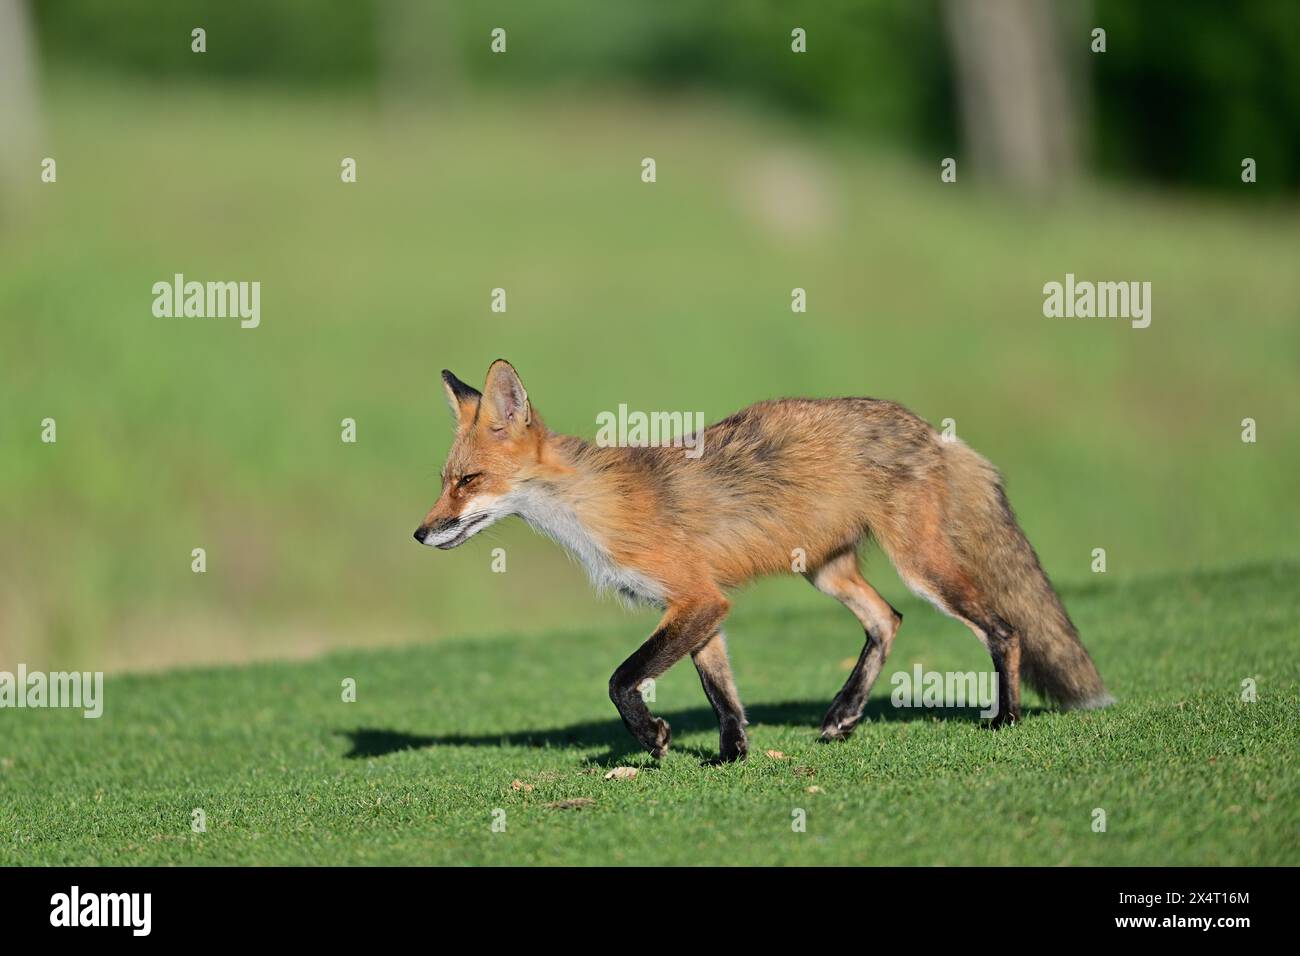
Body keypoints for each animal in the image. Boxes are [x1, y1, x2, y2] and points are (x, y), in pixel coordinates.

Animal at [415, 359, 1112, 762]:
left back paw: (1006, 718)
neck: (593, 508)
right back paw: (842, 716)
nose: (421, 533)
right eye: (445, 481)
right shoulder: (699, 606)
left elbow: (621, 679)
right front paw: (732, 755)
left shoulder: (696, 598)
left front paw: (653, 739)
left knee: (1005, 629)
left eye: (469, 481)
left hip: (923, 565)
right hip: (826, 571)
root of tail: (928, 429)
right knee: (886, 621)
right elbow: (721, 692)